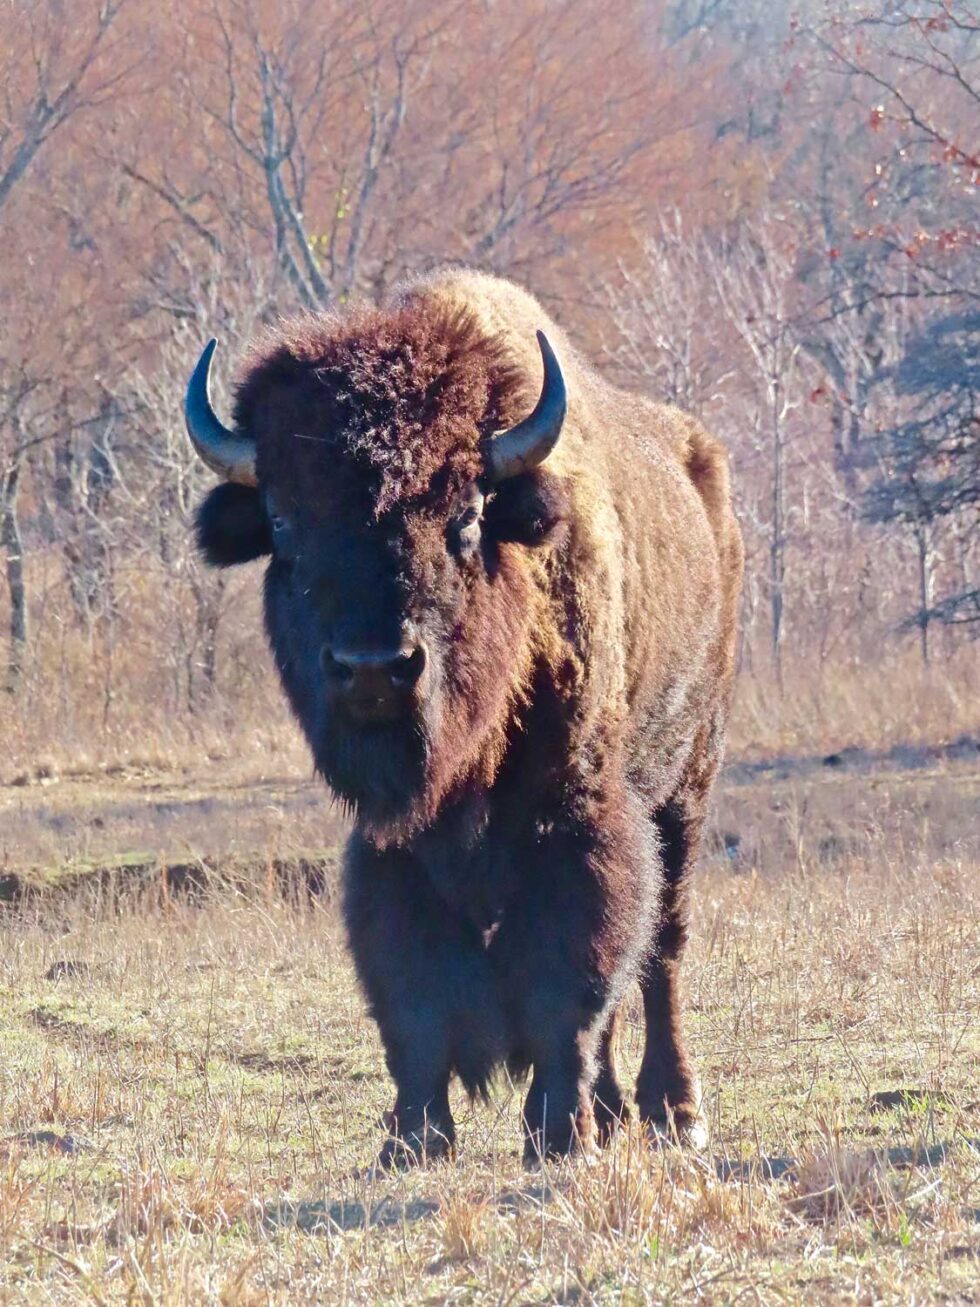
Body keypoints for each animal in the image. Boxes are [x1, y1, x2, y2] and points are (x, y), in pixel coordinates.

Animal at [186, 269, 743, 1164]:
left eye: (466, 517)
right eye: (282, 522)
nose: (373, 667)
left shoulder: (577, 816)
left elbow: (570, 979)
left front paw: (560, 1135)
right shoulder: (391, 846)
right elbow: (411, 993)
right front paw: (413, 1138)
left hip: (687, 783)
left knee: (663, 947)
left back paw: (672, 1111)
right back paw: (615, 1109)